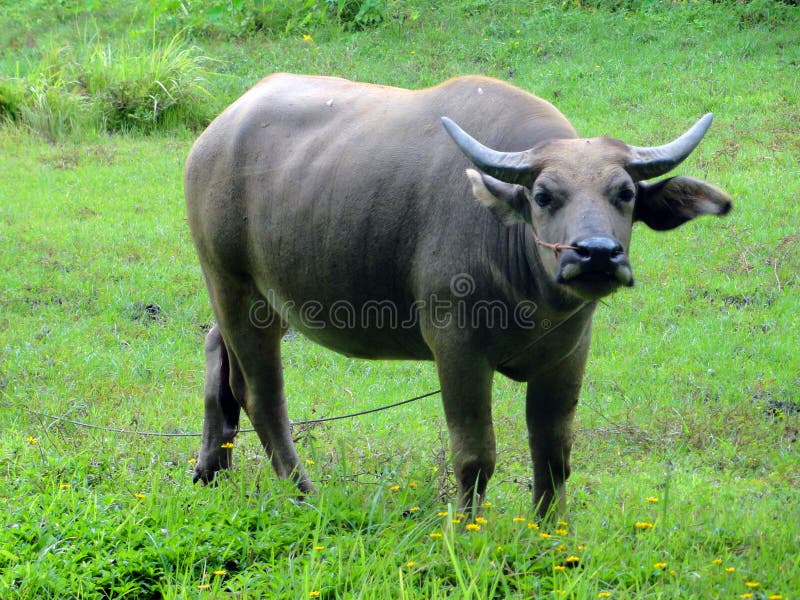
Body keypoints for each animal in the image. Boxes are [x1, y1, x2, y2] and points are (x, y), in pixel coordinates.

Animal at [185, 73, 731, 517]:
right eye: (543, 196)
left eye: (625, 193)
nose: (597, 253)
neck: (531, 296)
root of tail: (216, 133)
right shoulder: (458, 350)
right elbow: (476, 454)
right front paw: (467, 528)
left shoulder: (569, 354)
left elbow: (554, 452)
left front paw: (550, 529)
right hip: (231, 284)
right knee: (262, 394)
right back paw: (303, 493)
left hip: (264, 297)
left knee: (218, 354)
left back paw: (211, 468)